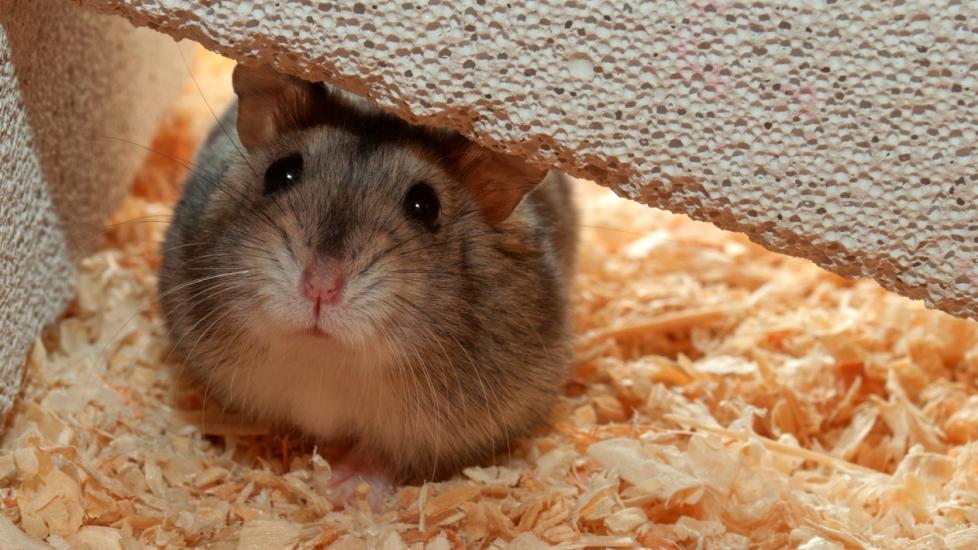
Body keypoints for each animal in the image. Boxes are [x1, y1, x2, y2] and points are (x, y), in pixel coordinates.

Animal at [159, 63, 577, 484]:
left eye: (425, 206)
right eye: (281, 173)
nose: (320, 287)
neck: (324, 359)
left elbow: (384, 456)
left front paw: (340, 486)